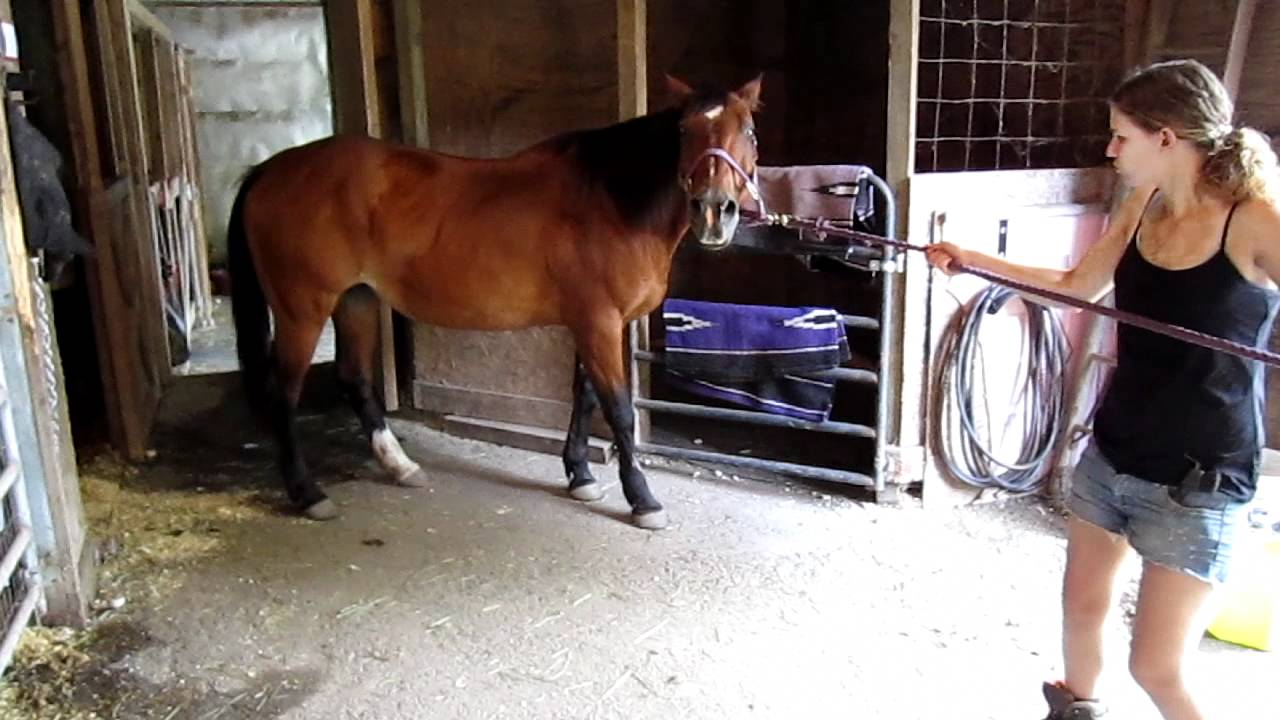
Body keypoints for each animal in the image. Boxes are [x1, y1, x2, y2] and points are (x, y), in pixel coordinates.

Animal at [228, 74, 763, 529]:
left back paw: (401, 467)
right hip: (302, 308)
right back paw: (308, 493)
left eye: (749, 131)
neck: (611, 198)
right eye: (684, 129)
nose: (714, 211)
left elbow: (584, 395)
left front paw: (581, 477)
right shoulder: (600, 322)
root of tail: (270, 170)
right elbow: (618, 410)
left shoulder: (588, 323)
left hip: (355, 300)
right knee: (283, 393)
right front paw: (643, 500)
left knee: (354, 379)